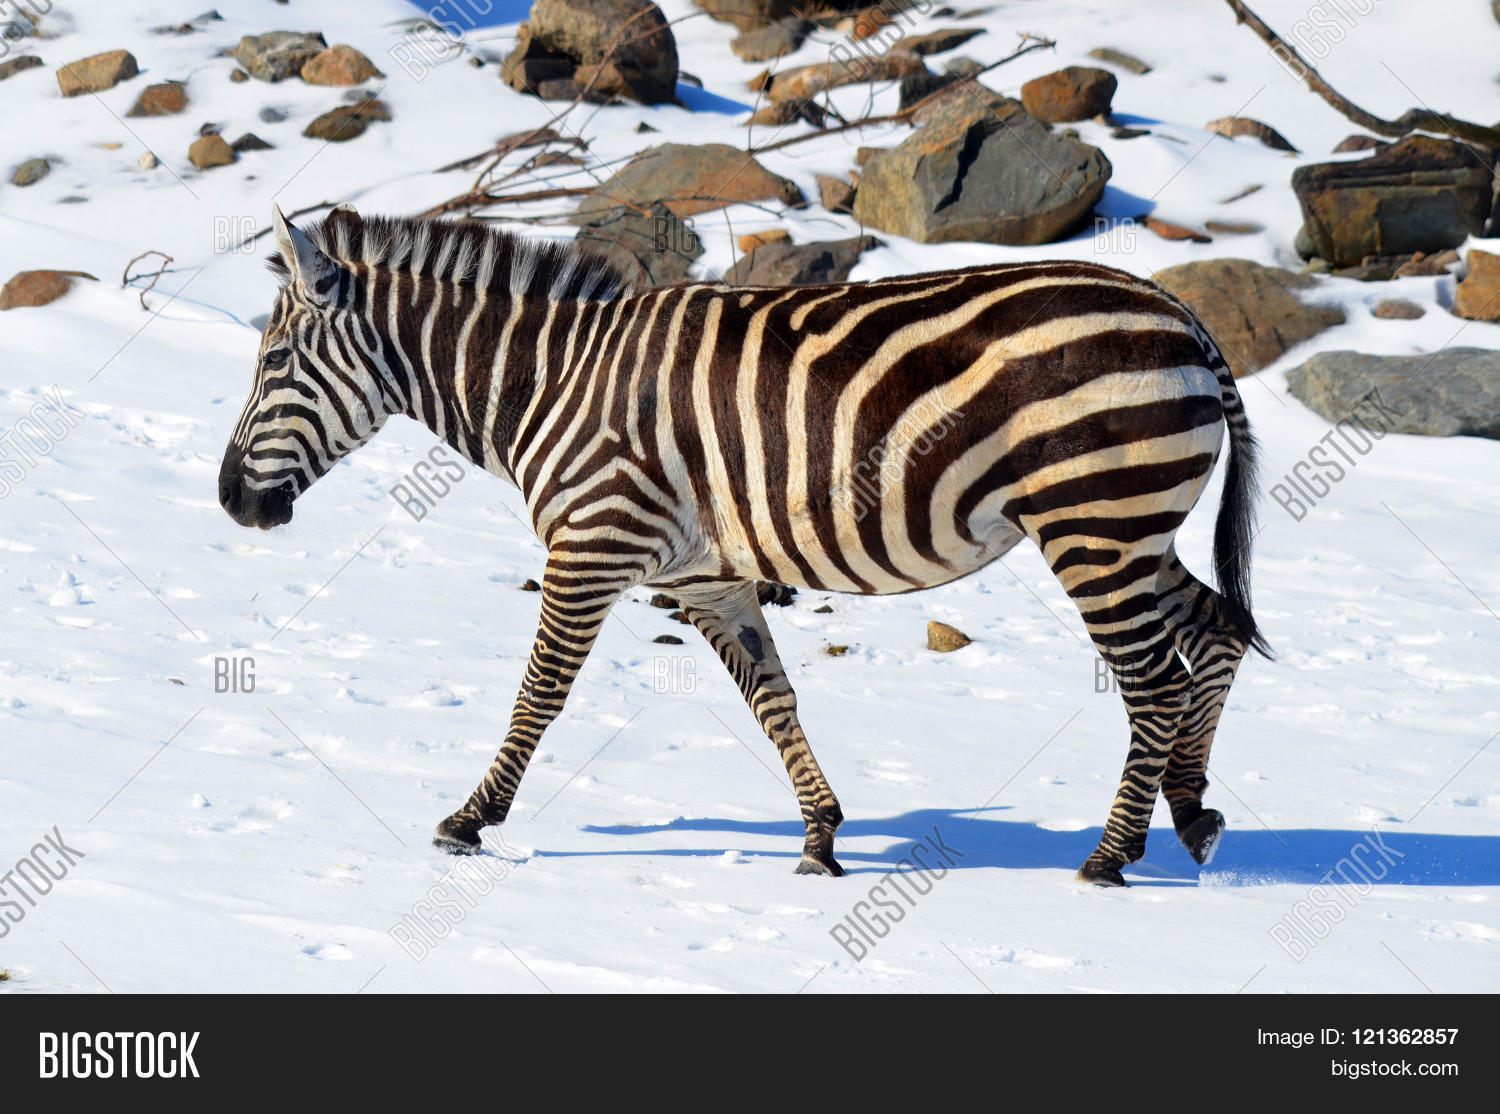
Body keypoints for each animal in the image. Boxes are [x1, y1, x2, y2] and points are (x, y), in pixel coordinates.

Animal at [219, 205, 1270, 887]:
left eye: (273, 362)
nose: (230, 501)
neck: (551, 382)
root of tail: (1182, 316)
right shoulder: (709, 580)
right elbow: (773, 699)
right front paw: (819, 838)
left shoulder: (592, 546)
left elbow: (539, 695)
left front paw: (470, 821)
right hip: (1131, 524)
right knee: (1216, 633)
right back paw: (1191, 814)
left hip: (1091, 520)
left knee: (1155, 681)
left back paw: (1108, 858)